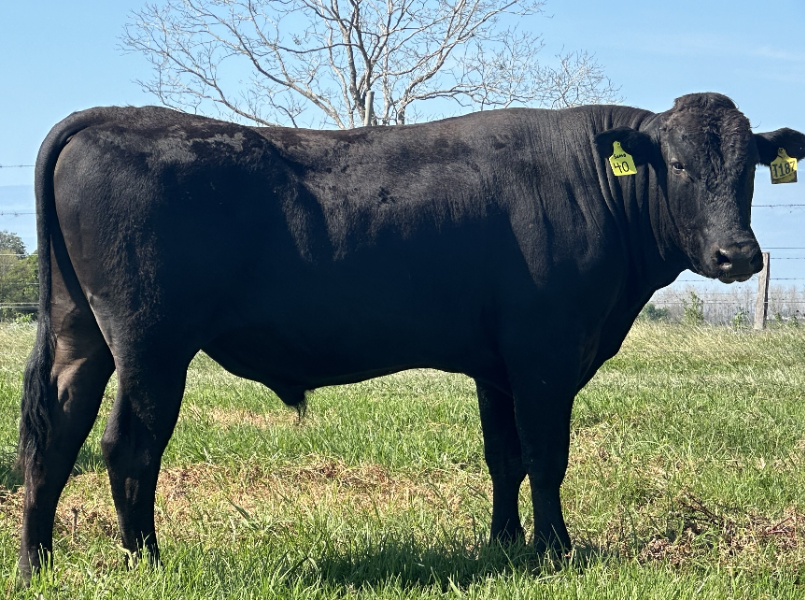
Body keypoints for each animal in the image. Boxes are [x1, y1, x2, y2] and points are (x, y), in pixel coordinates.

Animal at [17, 92, 805, 580]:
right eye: (678, 165)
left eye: (747, 169)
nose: (737, 255)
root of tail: (109, 117)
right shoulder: (545, 355)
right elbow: (546, 458)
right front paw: (554, 550)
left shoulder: (497, 365)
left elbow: (504, 458)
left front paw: (502, 546)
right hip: (151, 344)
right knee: (128, 446)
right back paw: (146, 562)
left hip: (81, 333)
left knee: (53, 437)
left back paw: (36, 565)